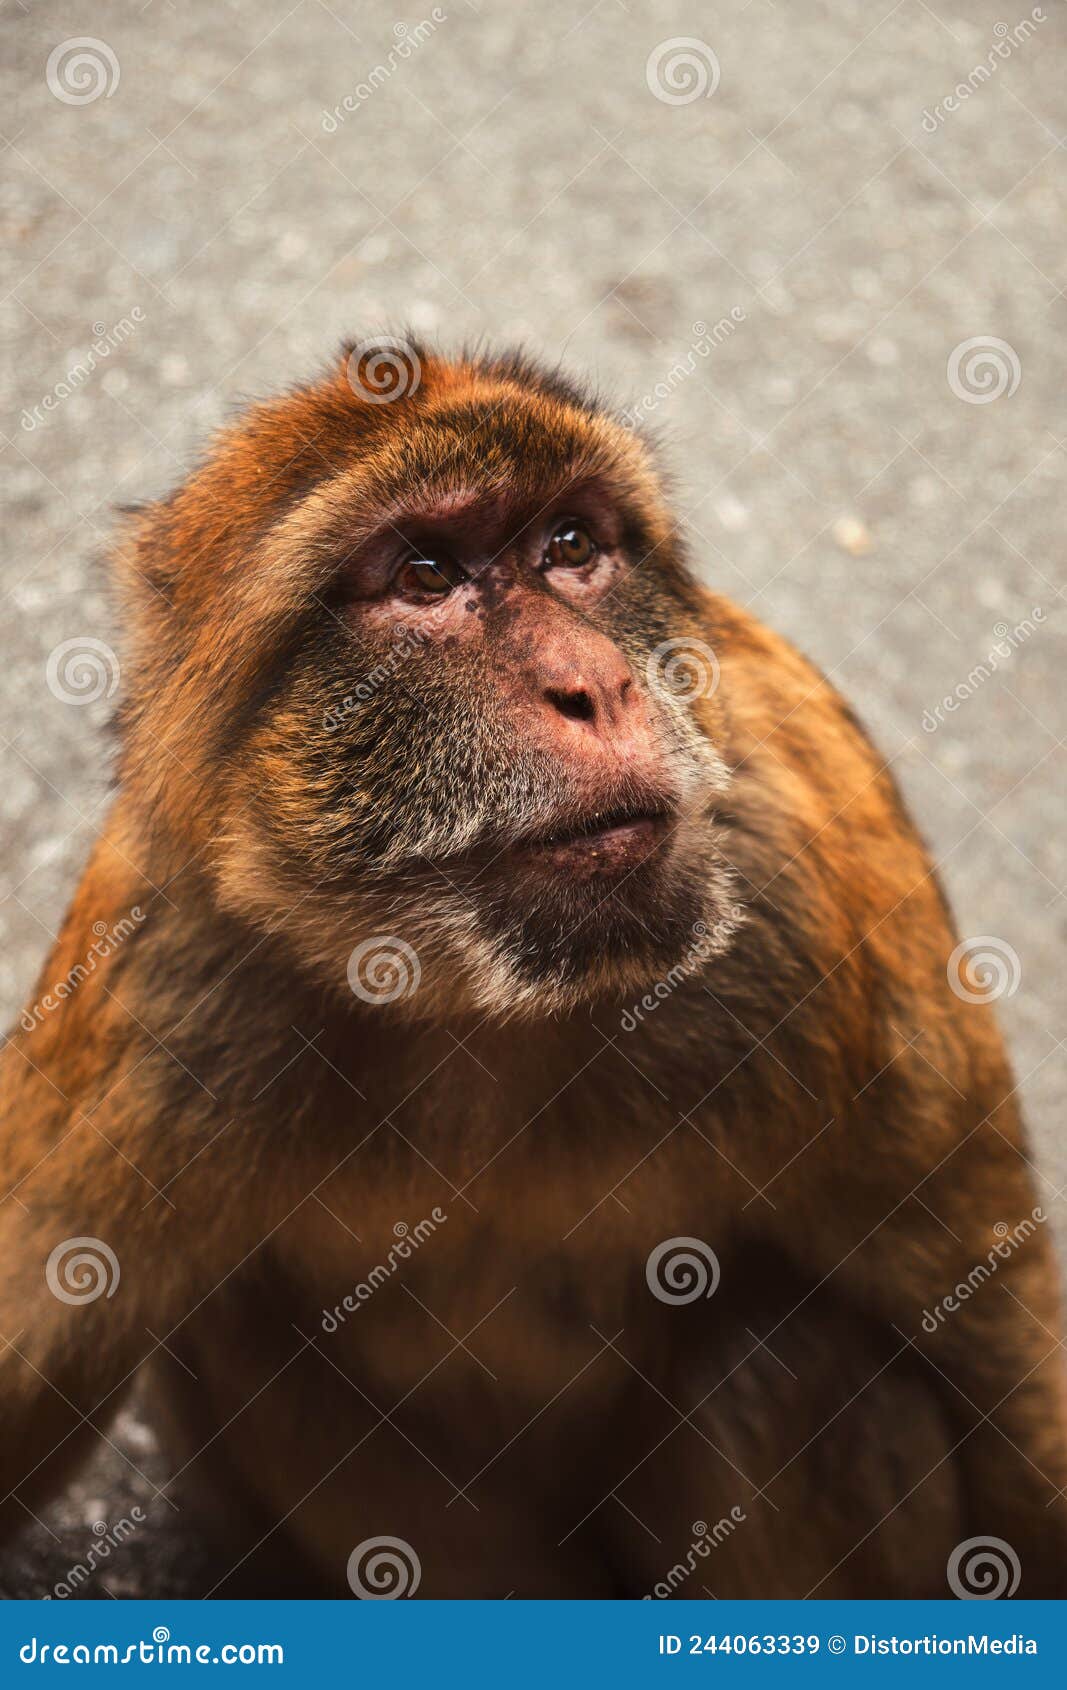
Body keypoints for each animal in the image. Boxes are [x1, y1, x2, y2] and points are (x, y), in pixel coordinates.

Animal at [1, 339, 1065, 1600]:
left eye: (569, 546)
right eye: (422, 575)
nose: (595, 686)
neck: (479, 1000)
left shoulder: (810, 893)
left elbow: (996, 1339)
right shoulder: (160, 975)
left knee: (778, 1356)